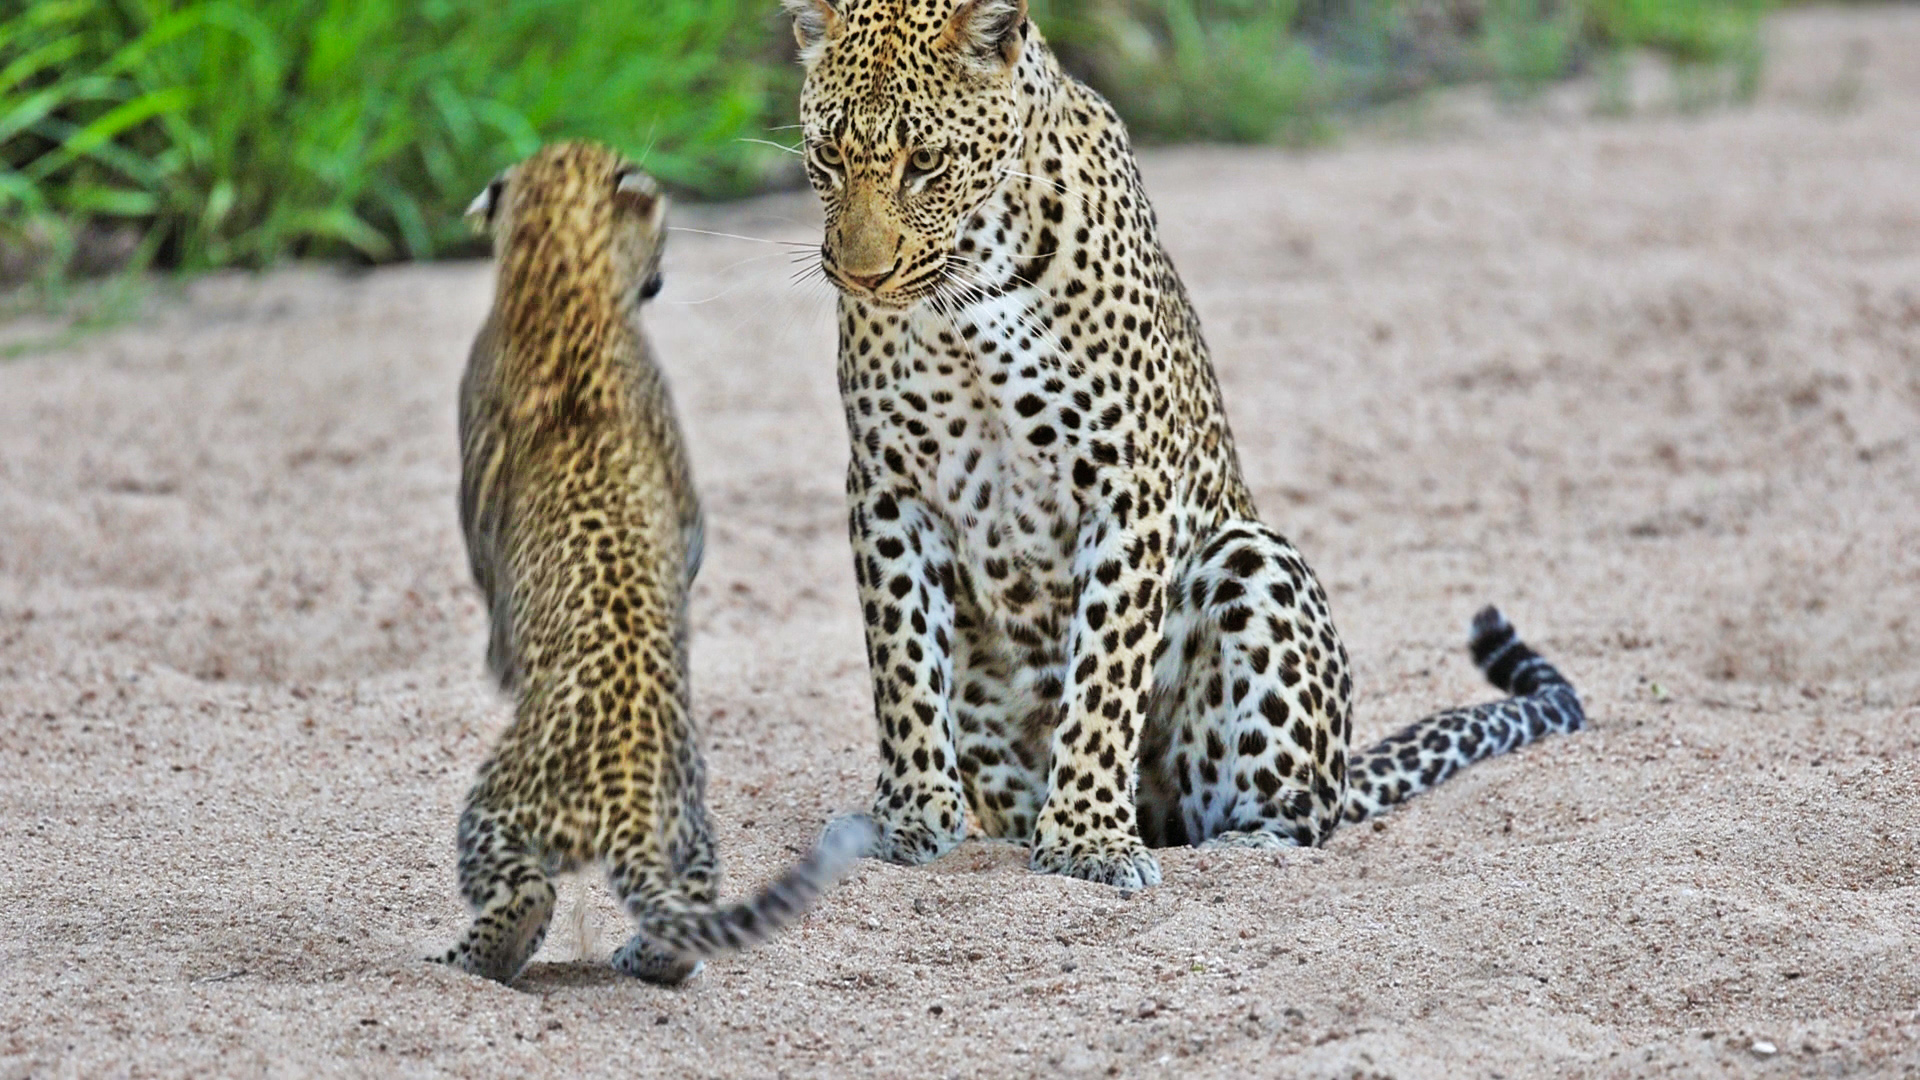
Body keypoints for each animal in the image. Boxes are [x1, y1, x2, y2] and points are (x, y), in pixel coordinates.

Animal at [438, 140, 875, 984]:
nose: (662, 273)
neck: (561, 269)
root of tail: (629, 797)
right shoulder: (679, 474)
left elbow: (489, 583)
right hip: (691, 826)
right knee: (687, 908)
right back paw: (647, 958)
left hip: (495, 811)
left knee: (526, 897)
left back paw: (460, 960)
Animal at [781, 0, 1587, 889]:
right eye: (827, 155)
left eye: (925, 161)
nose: (862, 277)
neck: (969, 294)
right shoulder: (890, 486)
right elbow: (902, 666)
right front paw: (912, 818)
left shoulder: (1128, 481)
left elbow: (1104, 676)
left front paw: (1087, 839)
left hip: (1254, 561)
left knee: (1291, 816)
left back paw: (1229, 842)